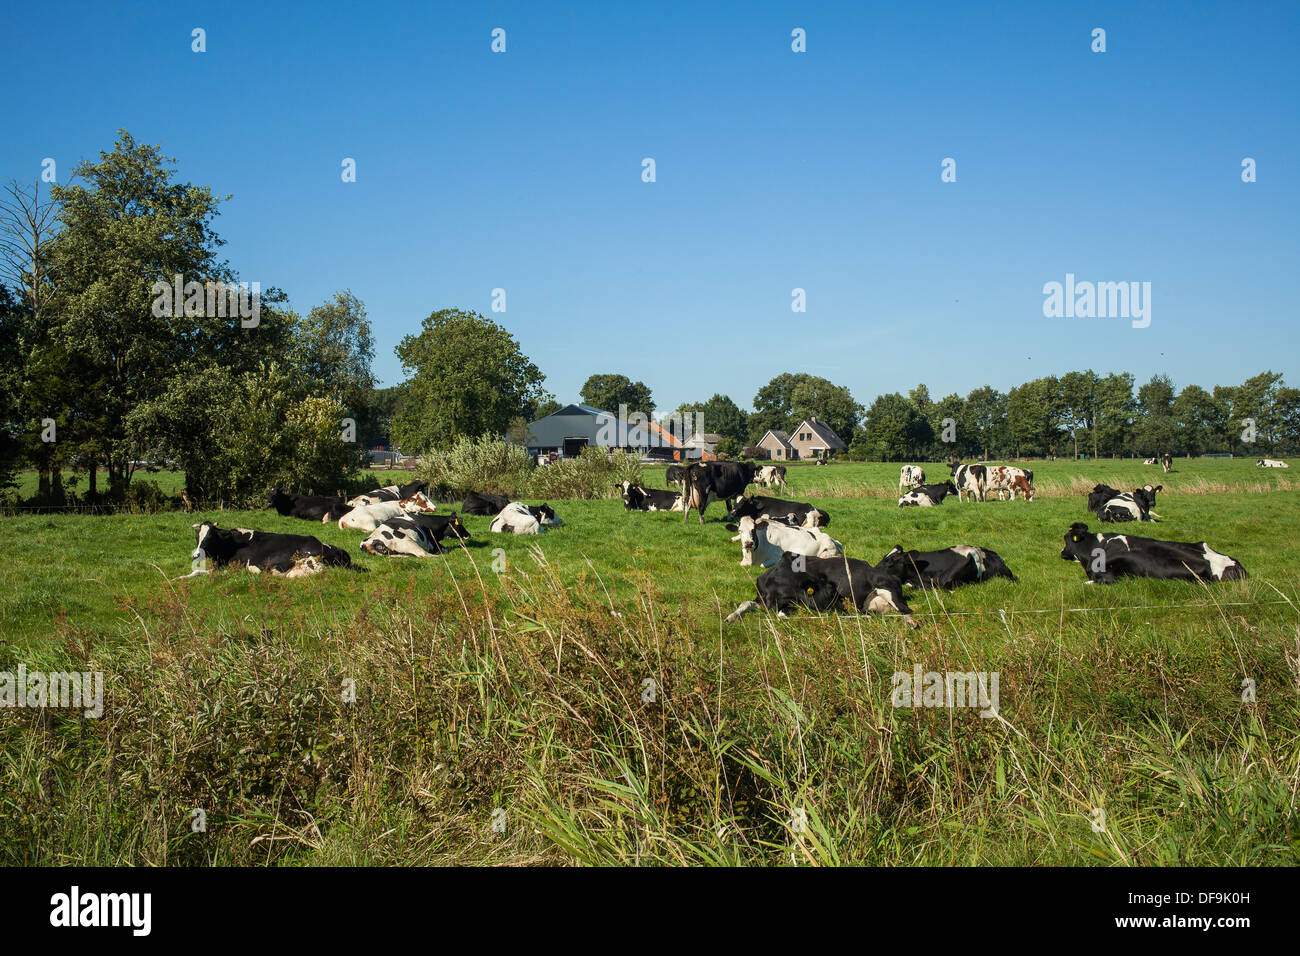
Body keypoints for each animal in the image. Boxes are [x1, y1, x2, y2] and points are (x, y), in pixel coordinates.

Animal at [178, 522, 351, 579]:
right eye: (197, 538)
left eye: (210, 538)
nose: (195, 555)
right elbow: (196, 571)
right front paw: (178, 578)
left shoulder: (235, 567)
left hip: (310, 560)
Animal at [725, 552, 917, 627]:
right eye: (815, 585)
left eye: (822, 579)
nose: (835, 590)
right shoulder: (761, 599)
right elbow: (745, 603)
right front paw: (731, 617)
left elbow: (781, 615)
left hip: (887, 589)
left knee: (908, 611)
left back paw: (911, 623)